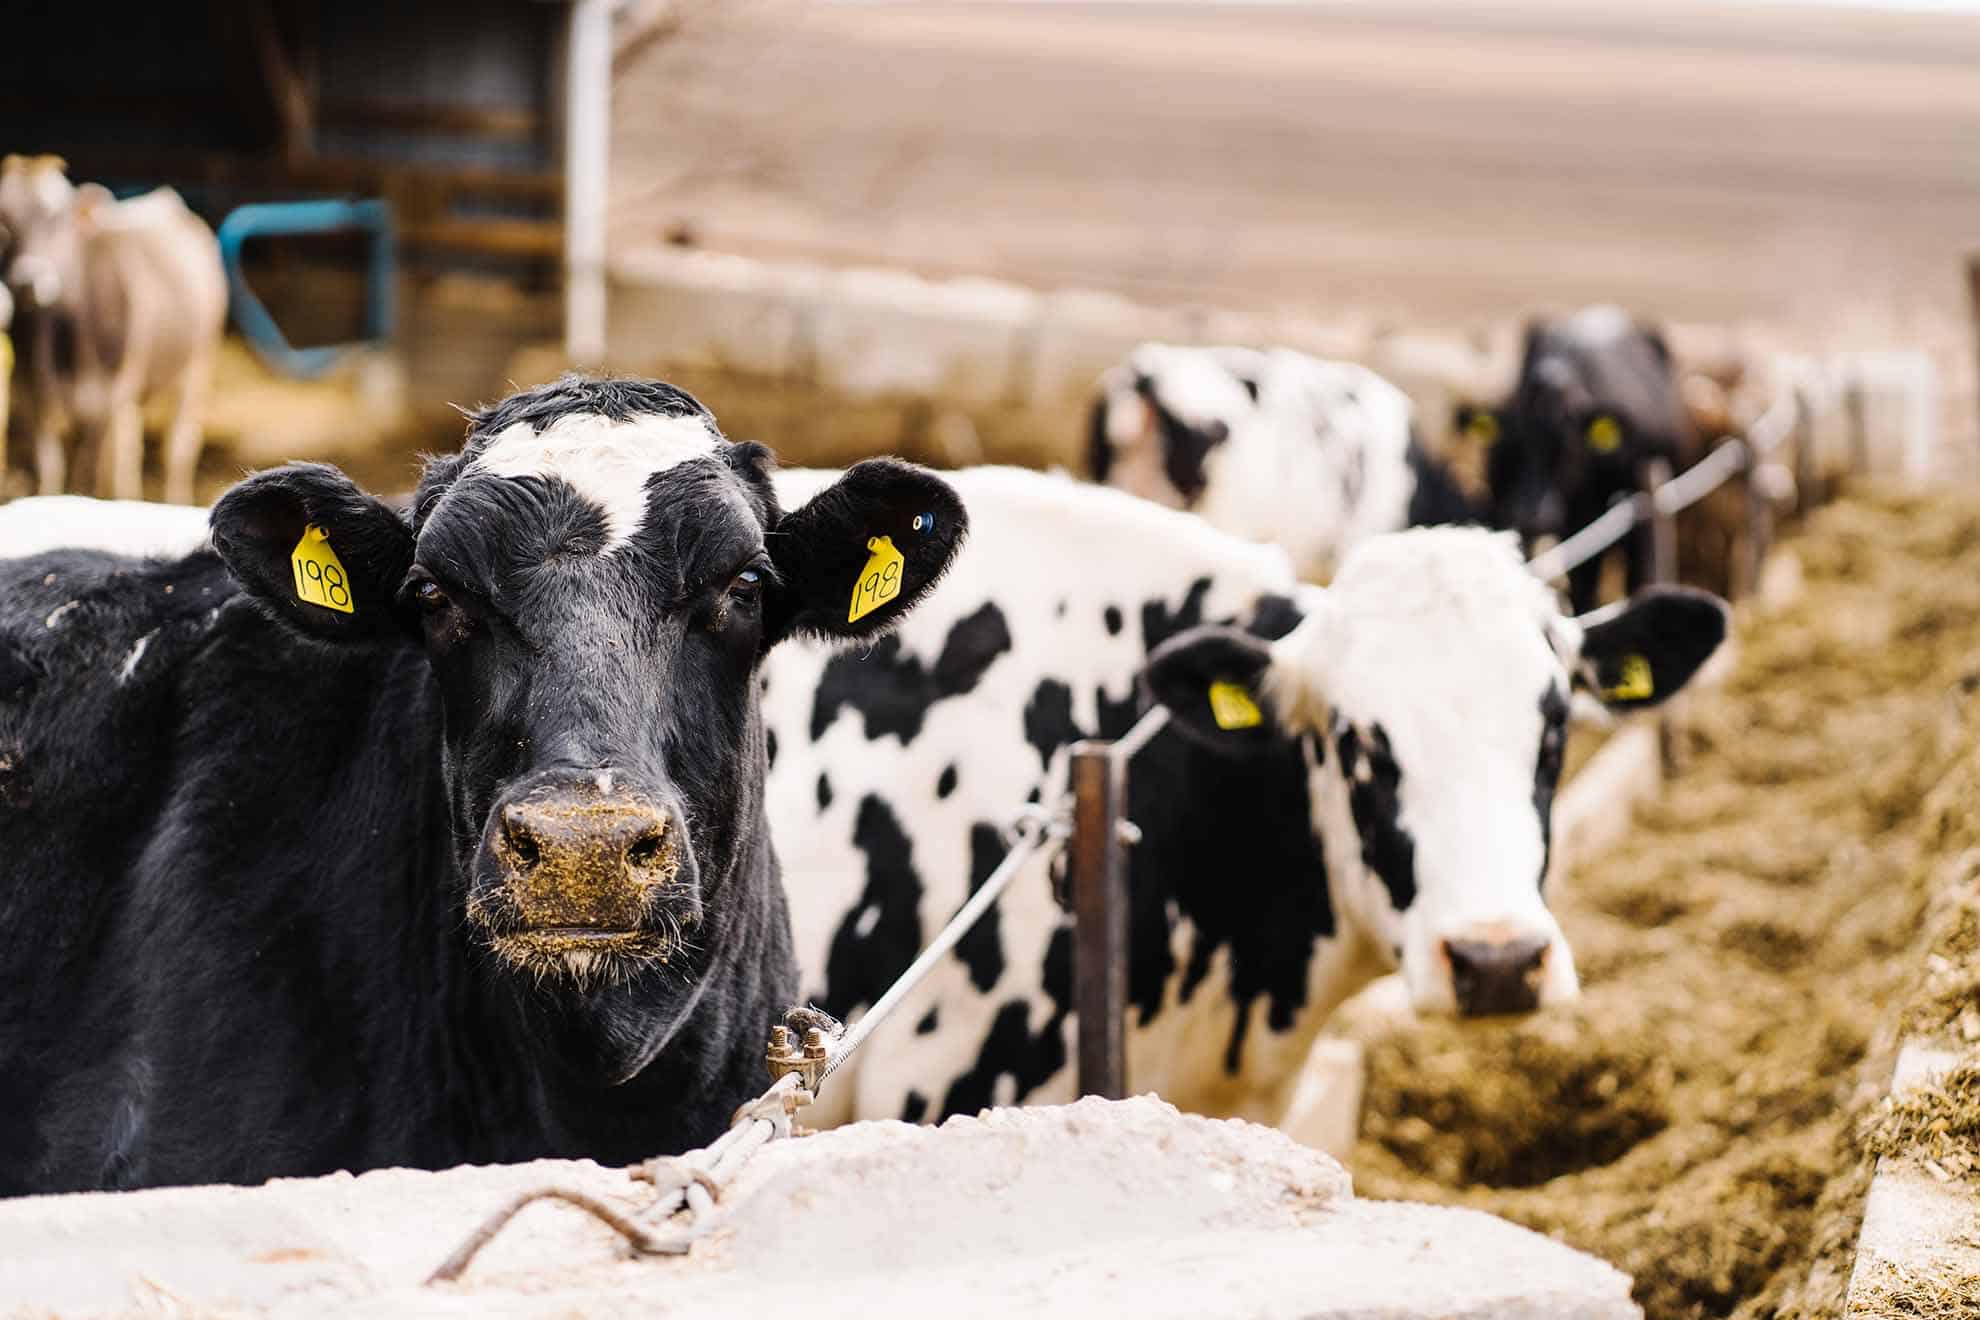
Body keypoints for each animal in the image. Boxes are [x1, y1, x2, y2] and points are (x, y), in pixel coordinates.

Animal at [0, 154, 228, 504]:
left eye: (57, 221)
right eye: (4, 224)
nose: (28, 283)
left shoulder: (106, 400)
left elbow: (87, 471)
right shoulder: (35, 395)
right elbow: (51, 465)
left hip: (196, 363)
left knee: (178, 446)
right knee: (127, 450)